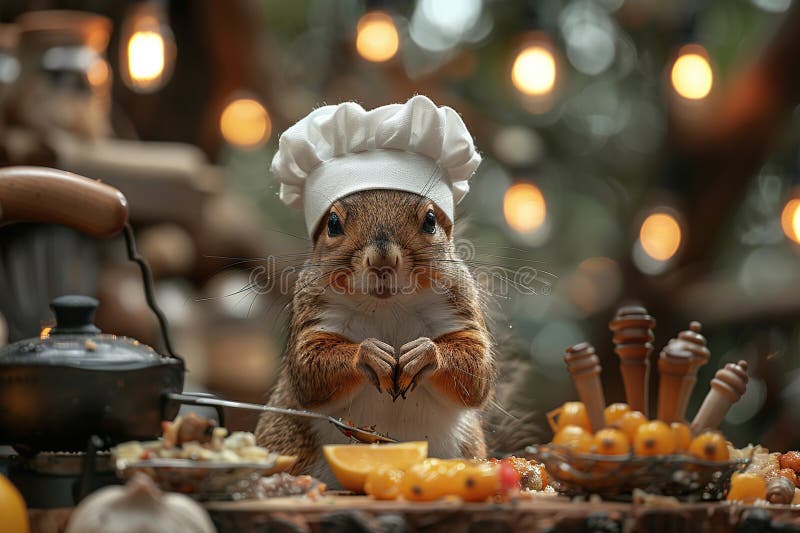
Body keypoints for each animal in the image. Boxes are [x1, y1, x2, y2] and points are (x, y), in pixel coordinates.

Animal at [256, 189, 495, 484]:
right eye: (332, 224)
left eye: (430, 220)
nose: (383, 262)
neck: (388, 305)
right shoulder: (313, 318)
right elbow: (308, 369)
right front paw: (369, 354)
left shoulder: (461, 310)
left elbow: (477, 374)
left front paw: (425, 353)